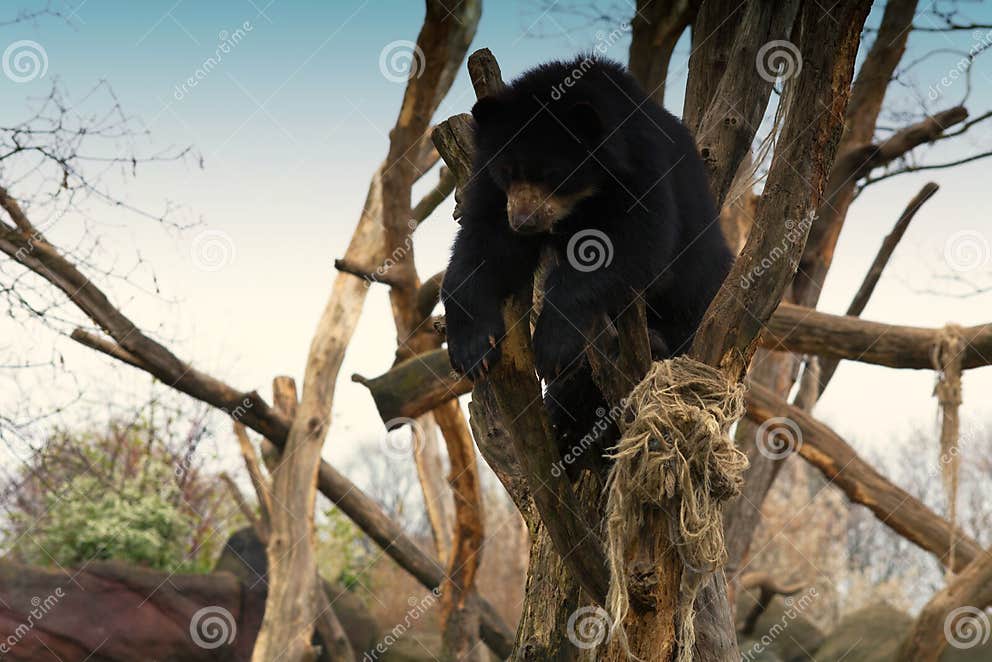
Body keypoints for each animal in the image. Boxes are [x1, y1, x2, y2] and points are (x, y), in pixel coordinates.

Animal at [441, 56, 732, 467]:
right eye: (507, 171)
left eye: (552, 174)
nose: (524, 222)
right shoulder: (493, 192)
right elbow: (484, 246)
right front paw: (472, 352)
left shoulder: (642, 168)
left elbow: (635, 245)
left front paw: (552, 349)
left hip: (702, 288)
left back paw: (655, 344)